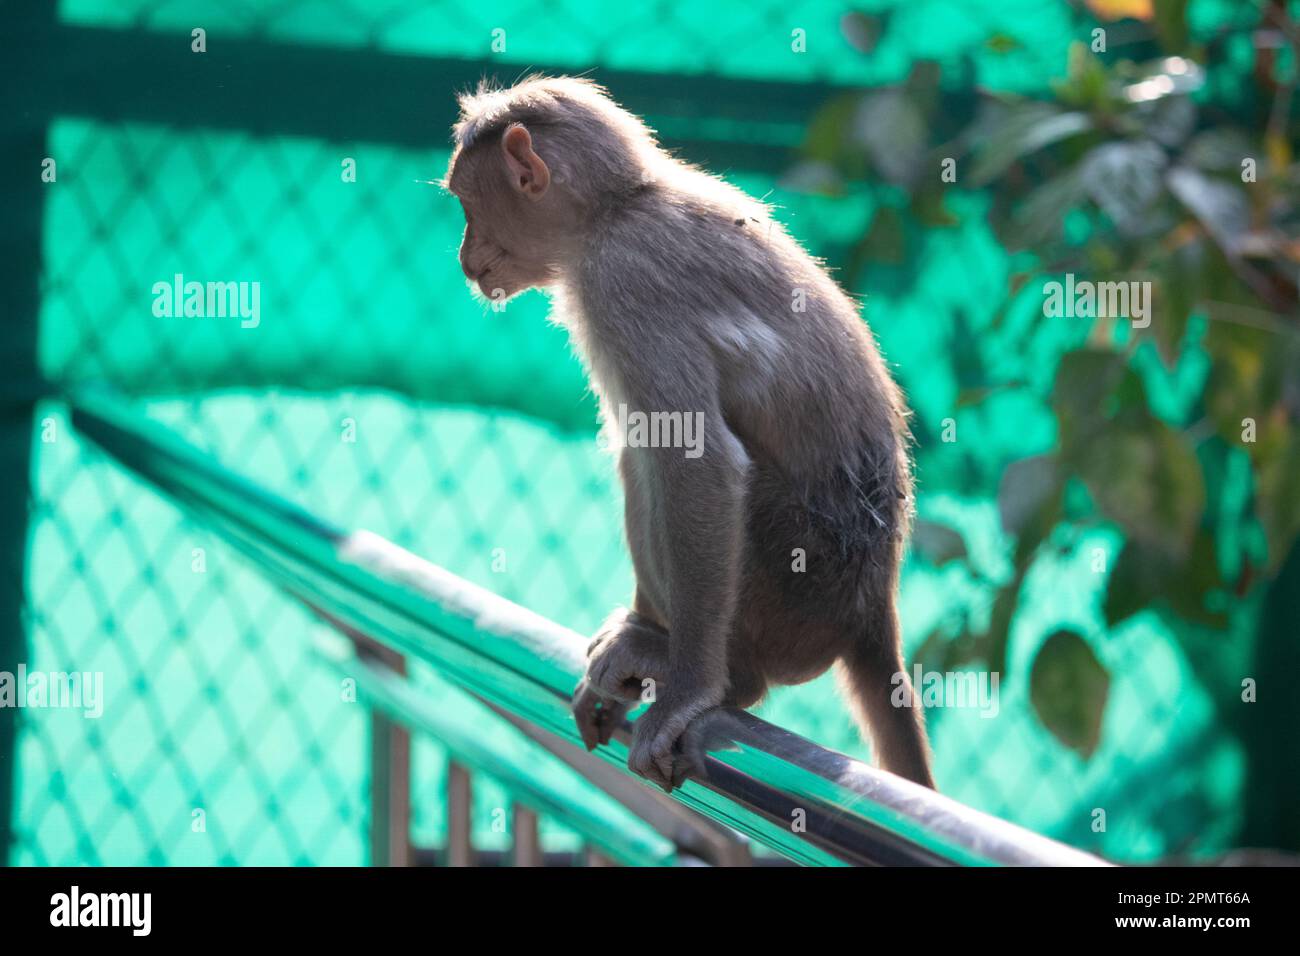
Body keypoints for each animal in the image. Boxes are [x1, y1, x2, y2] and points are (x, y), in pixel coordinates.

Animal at [444, 76, 935, 793]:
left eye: (466, 205)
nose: (462, 257)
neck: (618, 210)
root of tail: (872, 607)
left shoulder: (623, 283)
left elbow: (699, 463)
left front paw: (689, 690)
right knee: (635, 451)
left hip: (794, 588)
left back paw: (730, 677)